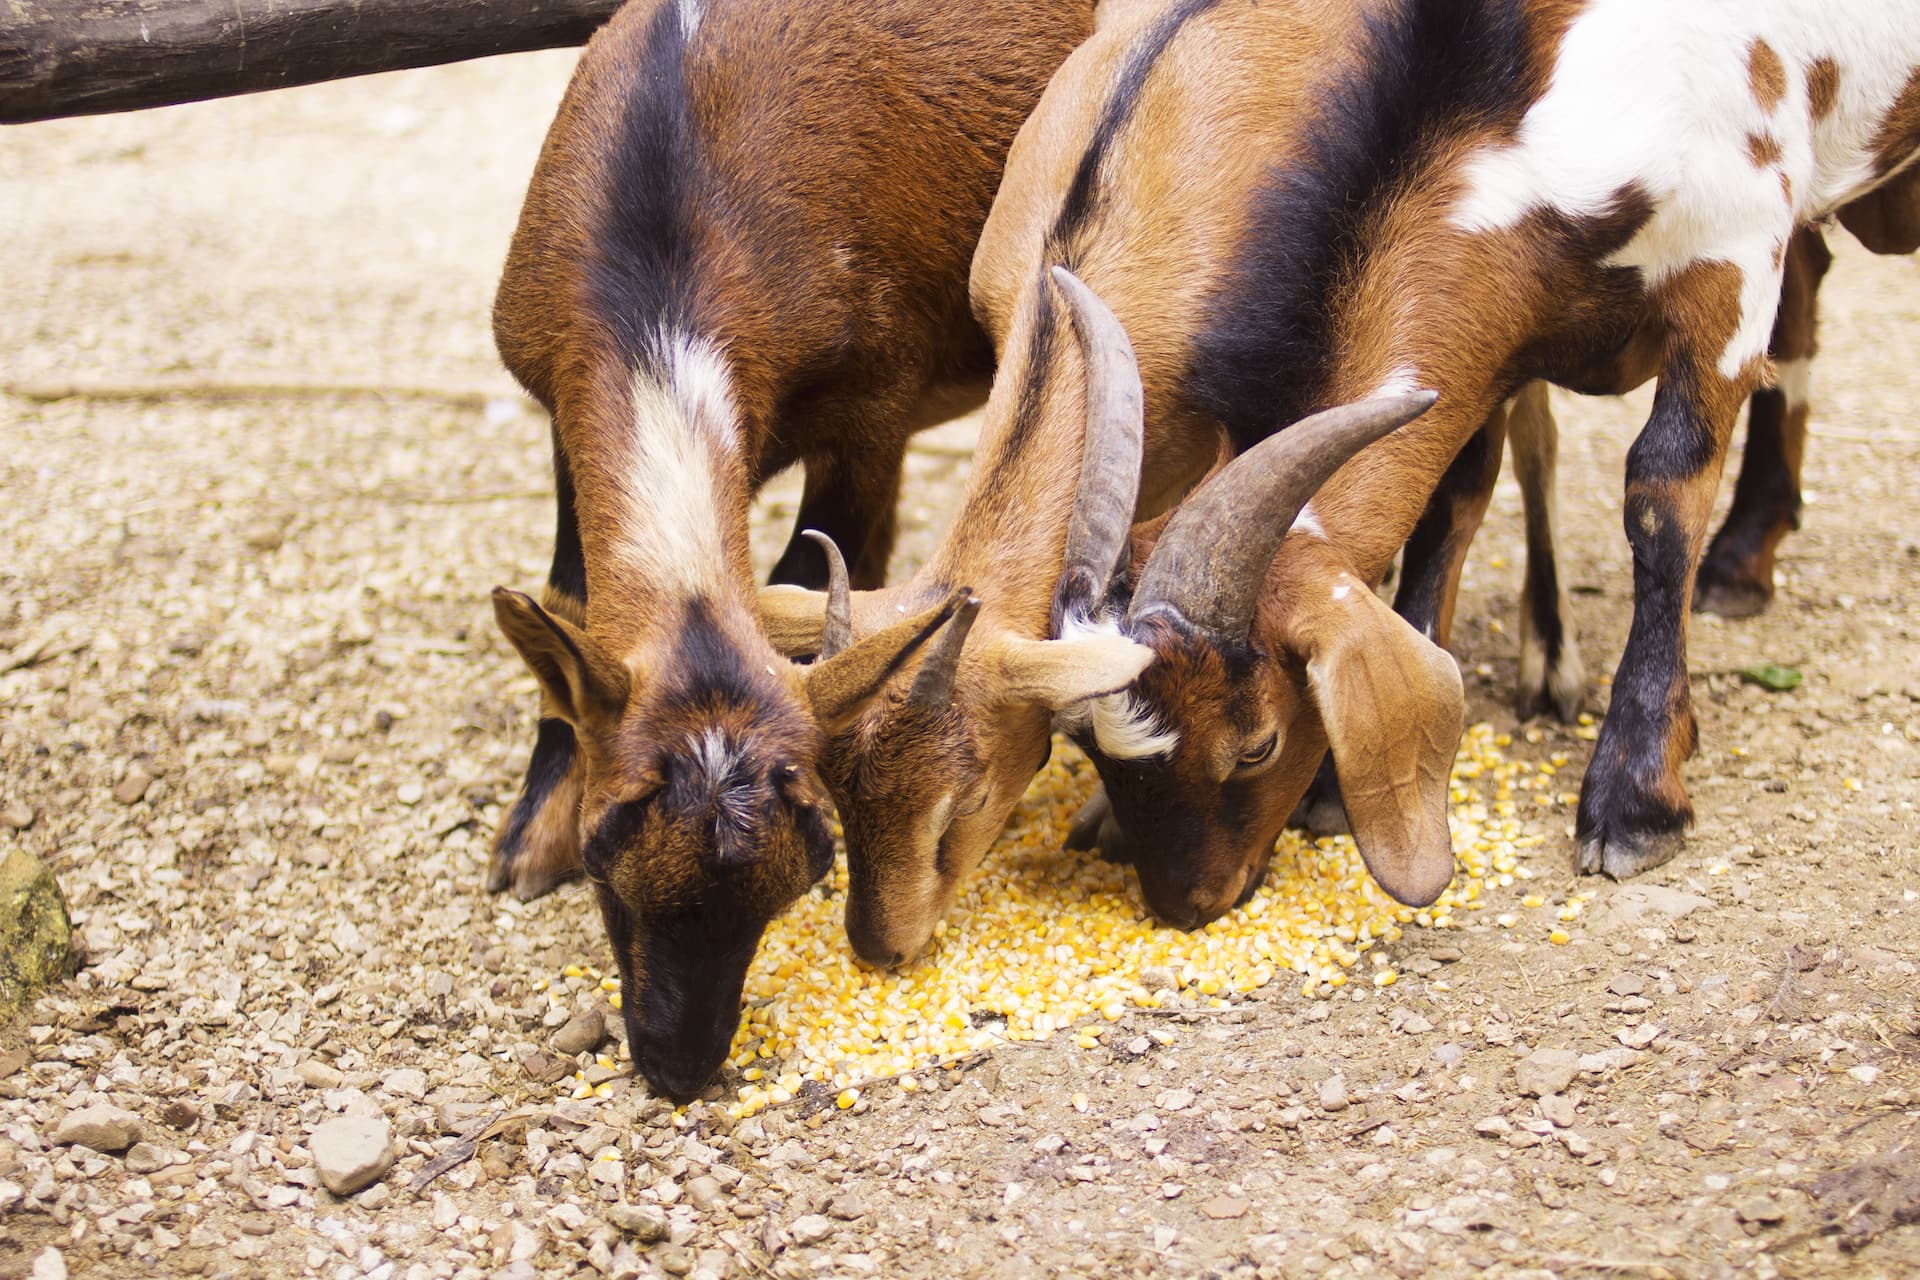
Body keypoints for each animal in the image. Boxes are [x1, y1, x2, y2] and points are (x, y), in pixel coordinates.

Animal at [486, 0, 1091, 1097]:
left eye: (795, 883)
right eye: (603, 865)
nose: (679, 1067)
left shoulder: (874, 404)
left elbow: (811, 574)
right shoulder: (557, 396)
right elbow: (570, 594)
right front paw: (527, 836)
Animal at [991, 0, 1920, 927]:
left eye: (1256, 744)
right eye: (1086, 744)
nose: (1186, 903)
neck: (1530, 80)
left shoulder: (1729, 259)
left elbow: (1661, 497)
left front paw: (1635, 802)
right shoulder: (1497, 334)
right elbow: (1453, 502)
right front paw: (1336, 795)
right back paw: (1745, 557)